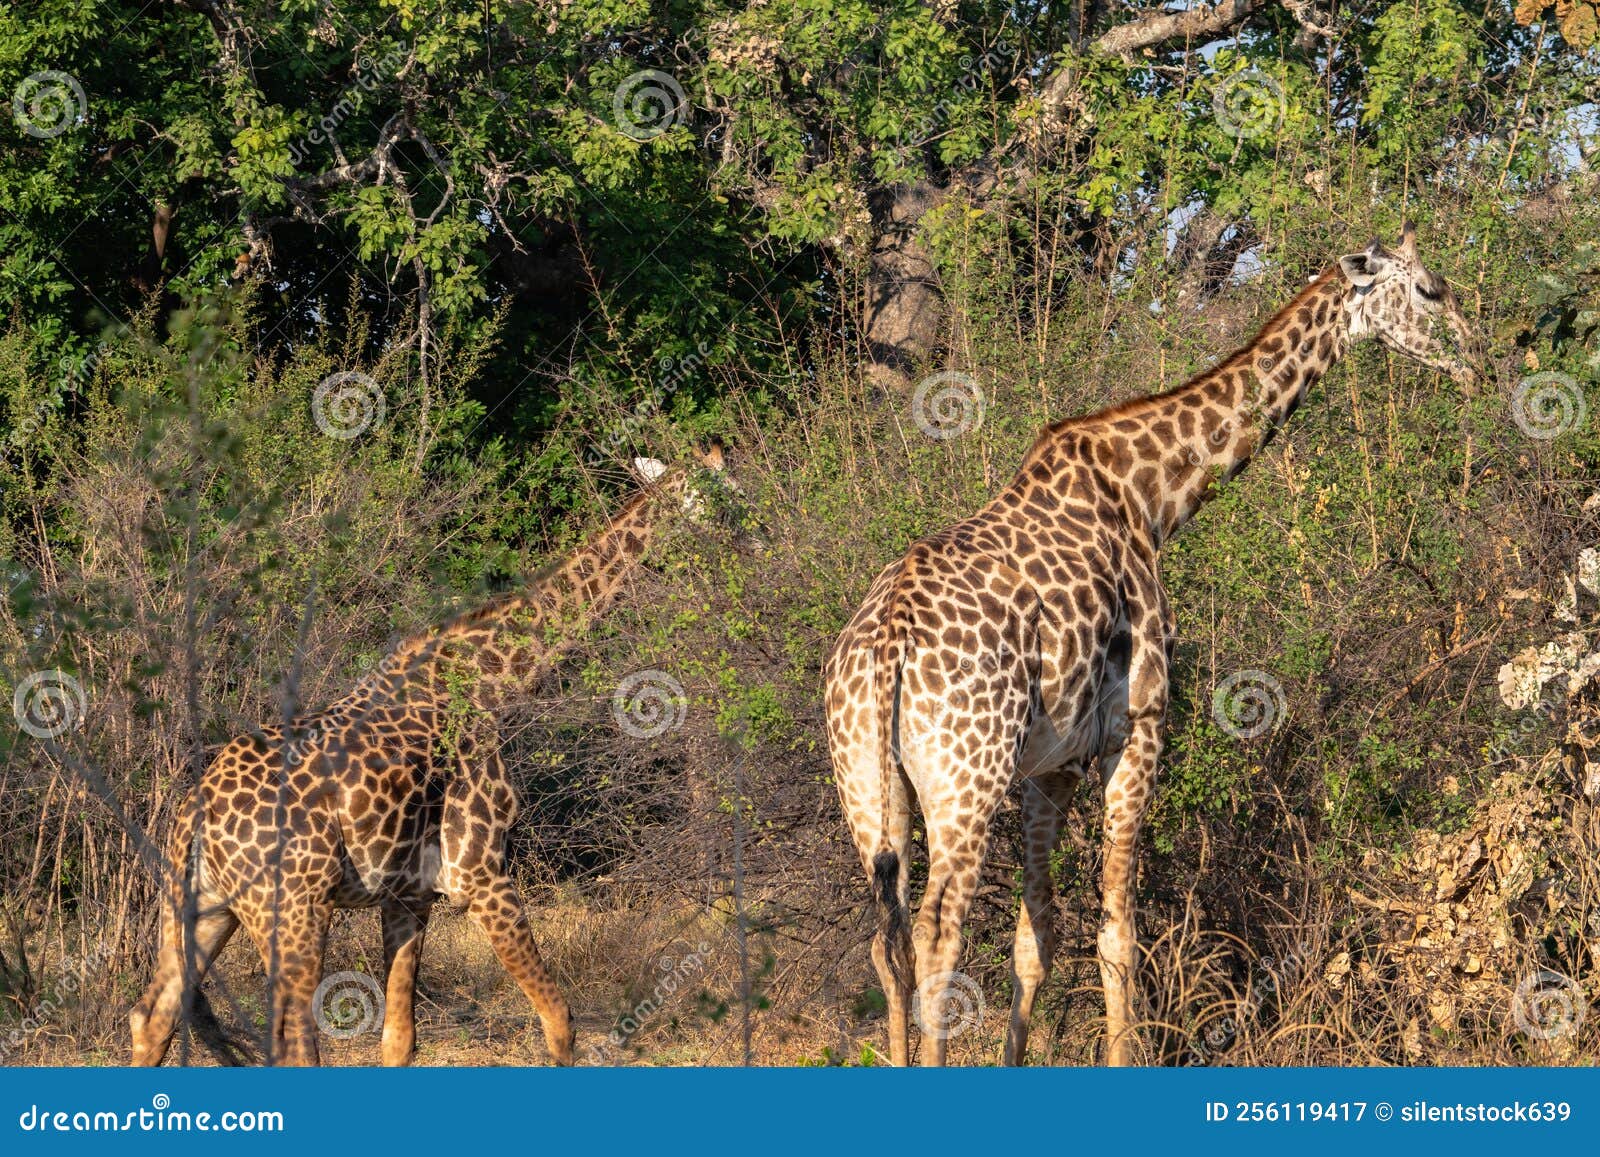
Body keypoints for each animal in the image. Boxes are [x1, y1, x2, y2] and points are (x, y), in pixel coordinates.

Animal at [130, 447, 731, 1067]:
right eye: (721, 489)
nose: (745, 529)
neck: (492, 683)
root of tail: (192, 818)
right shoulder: (479, 871)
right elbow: (559, 1019)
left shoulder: (410, 891)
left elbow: (400, 1039)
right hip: (294, 908)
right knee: (292, 1038)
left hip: (200, 907)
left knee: (154, 1015)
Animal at [824, 223, 1480, 1067]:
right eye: (1431, 289)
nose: (1475, 356)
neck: (1153, 496)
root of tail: (885, 647)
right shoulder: (1136, 729)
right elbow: (1117, 934)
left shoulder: (1051, 765)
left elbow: (1037, 935)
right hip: (966, 782)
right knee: (939, 932)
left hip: (870, 789)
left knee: (889, 940)